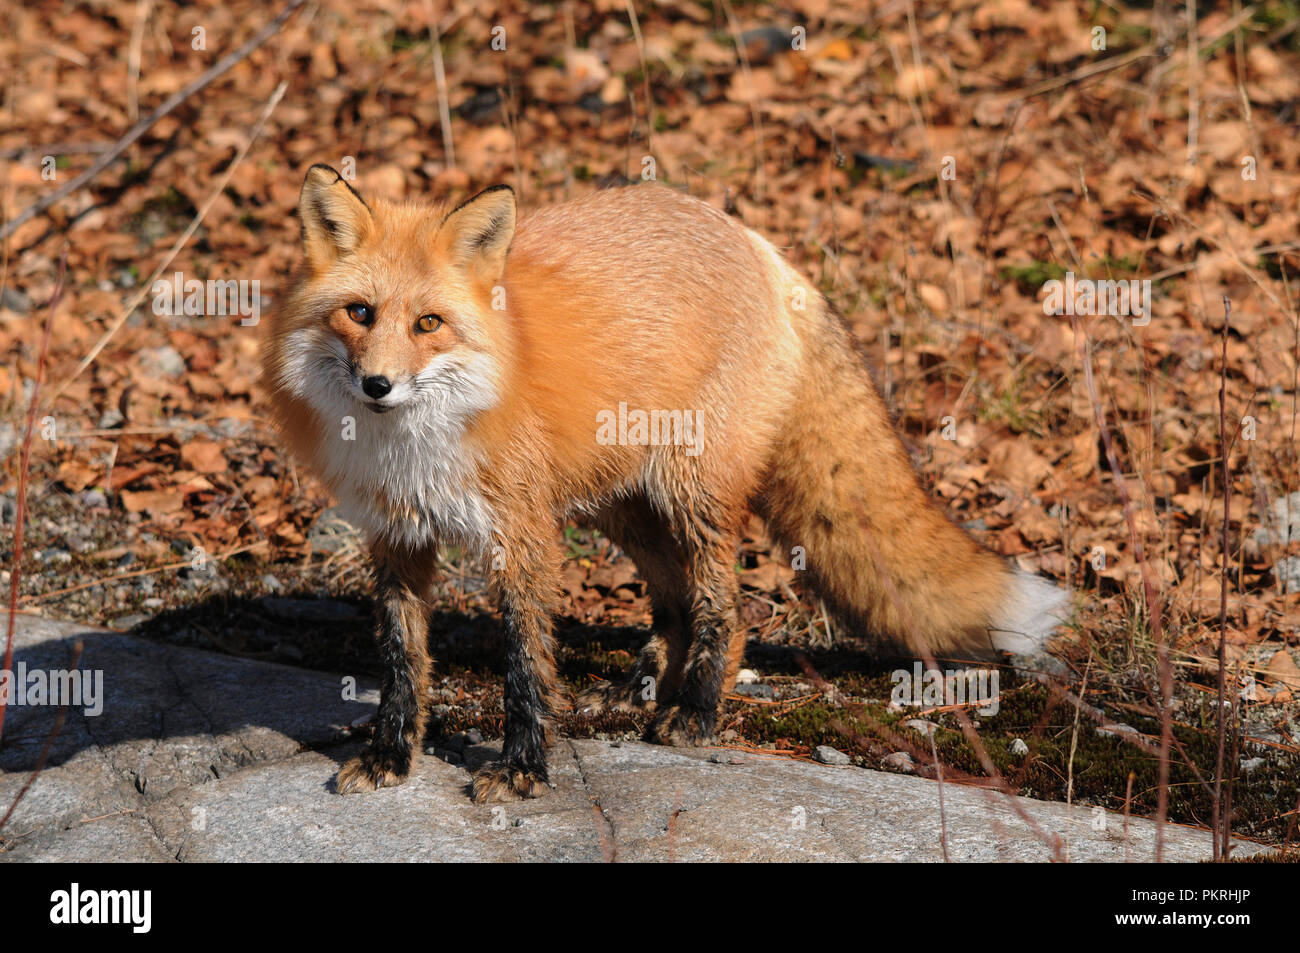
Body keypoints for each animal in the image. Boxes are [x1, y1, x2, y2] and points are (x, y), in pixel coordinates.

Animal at [261, 164, 1069, 803]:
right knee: (675, 603)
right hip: (622, 504)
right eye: (359, 313)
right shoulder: (397, 537)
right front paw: (391, 755)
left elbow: (525, 665)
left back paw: (698, 712)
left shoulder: (522, 535)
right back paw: (642, 689)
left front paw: (524, 768)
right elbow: (403, 662)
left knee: (728, 608)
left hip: (691, 492)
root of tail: (754, 240)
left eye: (428, 323)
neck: (419, 442)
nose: (378, 385)